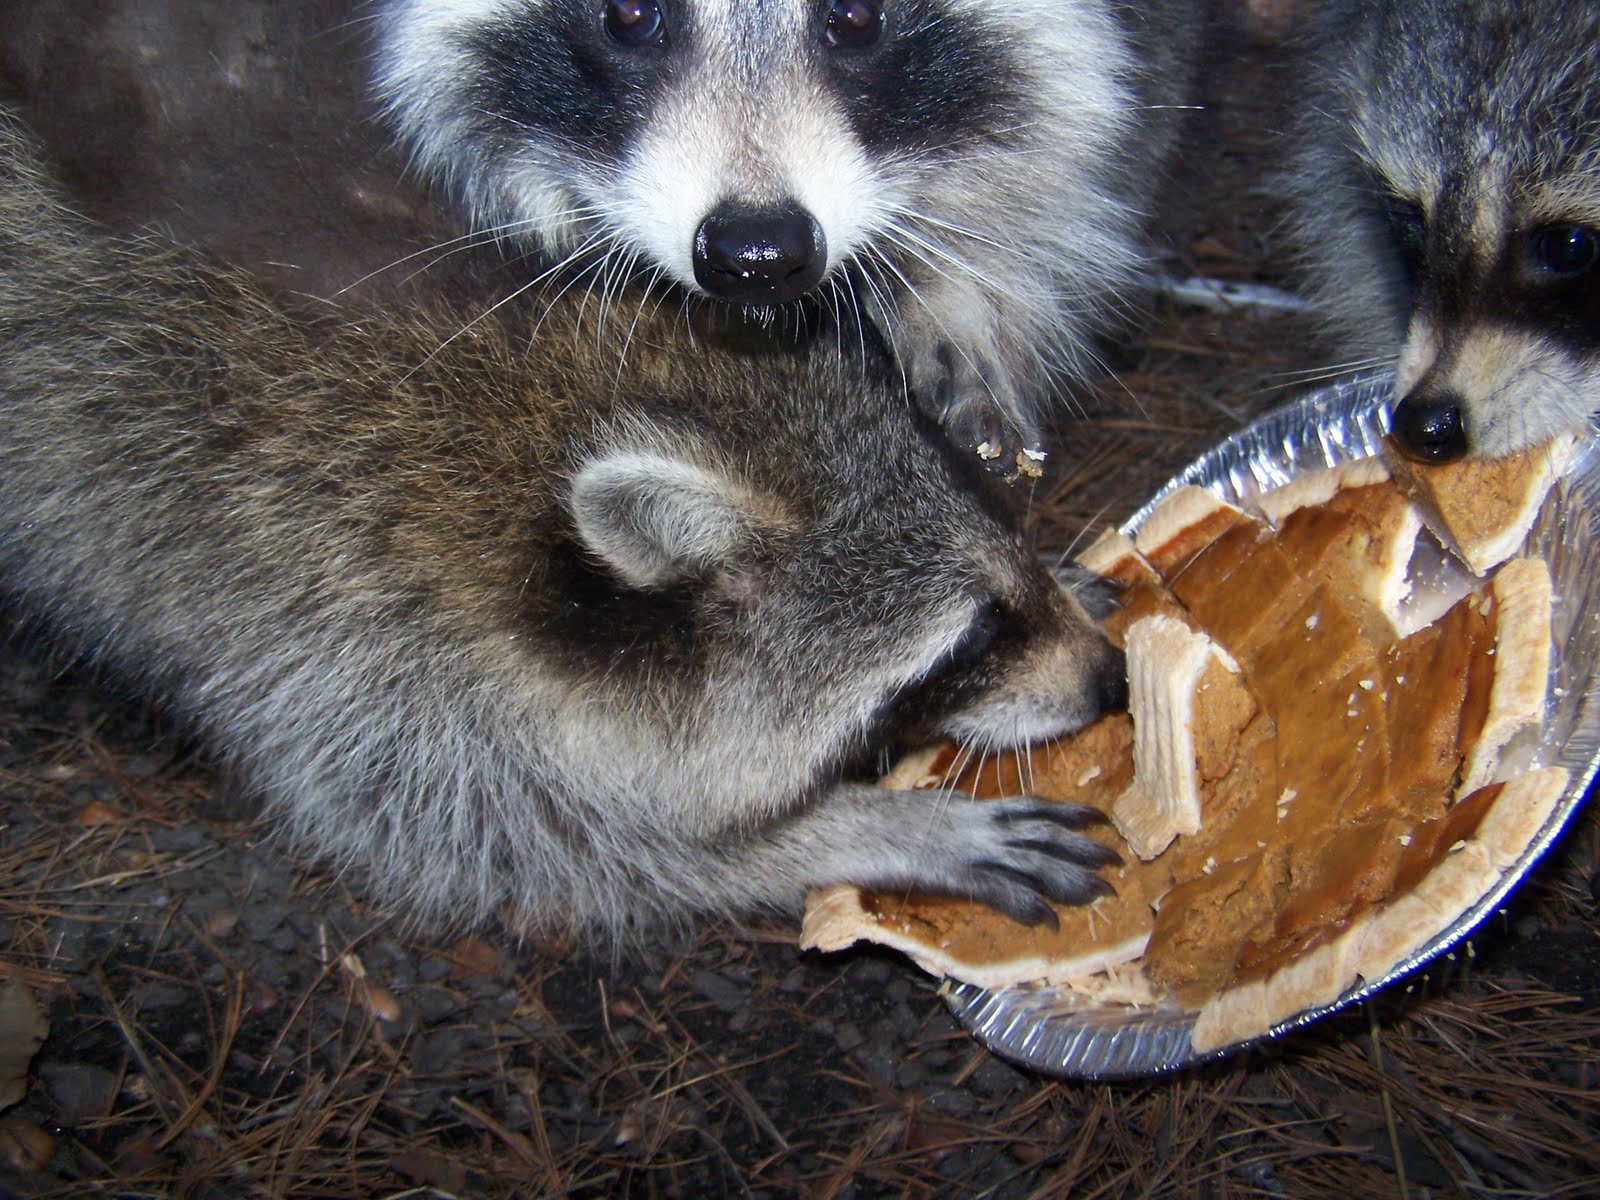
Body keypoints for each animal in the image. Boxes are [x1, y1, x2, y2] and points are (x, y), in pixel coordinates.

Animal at [0, 109, 1126, 943]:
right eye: (966, 643)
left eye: (997, 525)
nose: (1110, 680)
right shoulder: (342, 632)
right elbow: (525, 841)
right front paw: (867, 827)